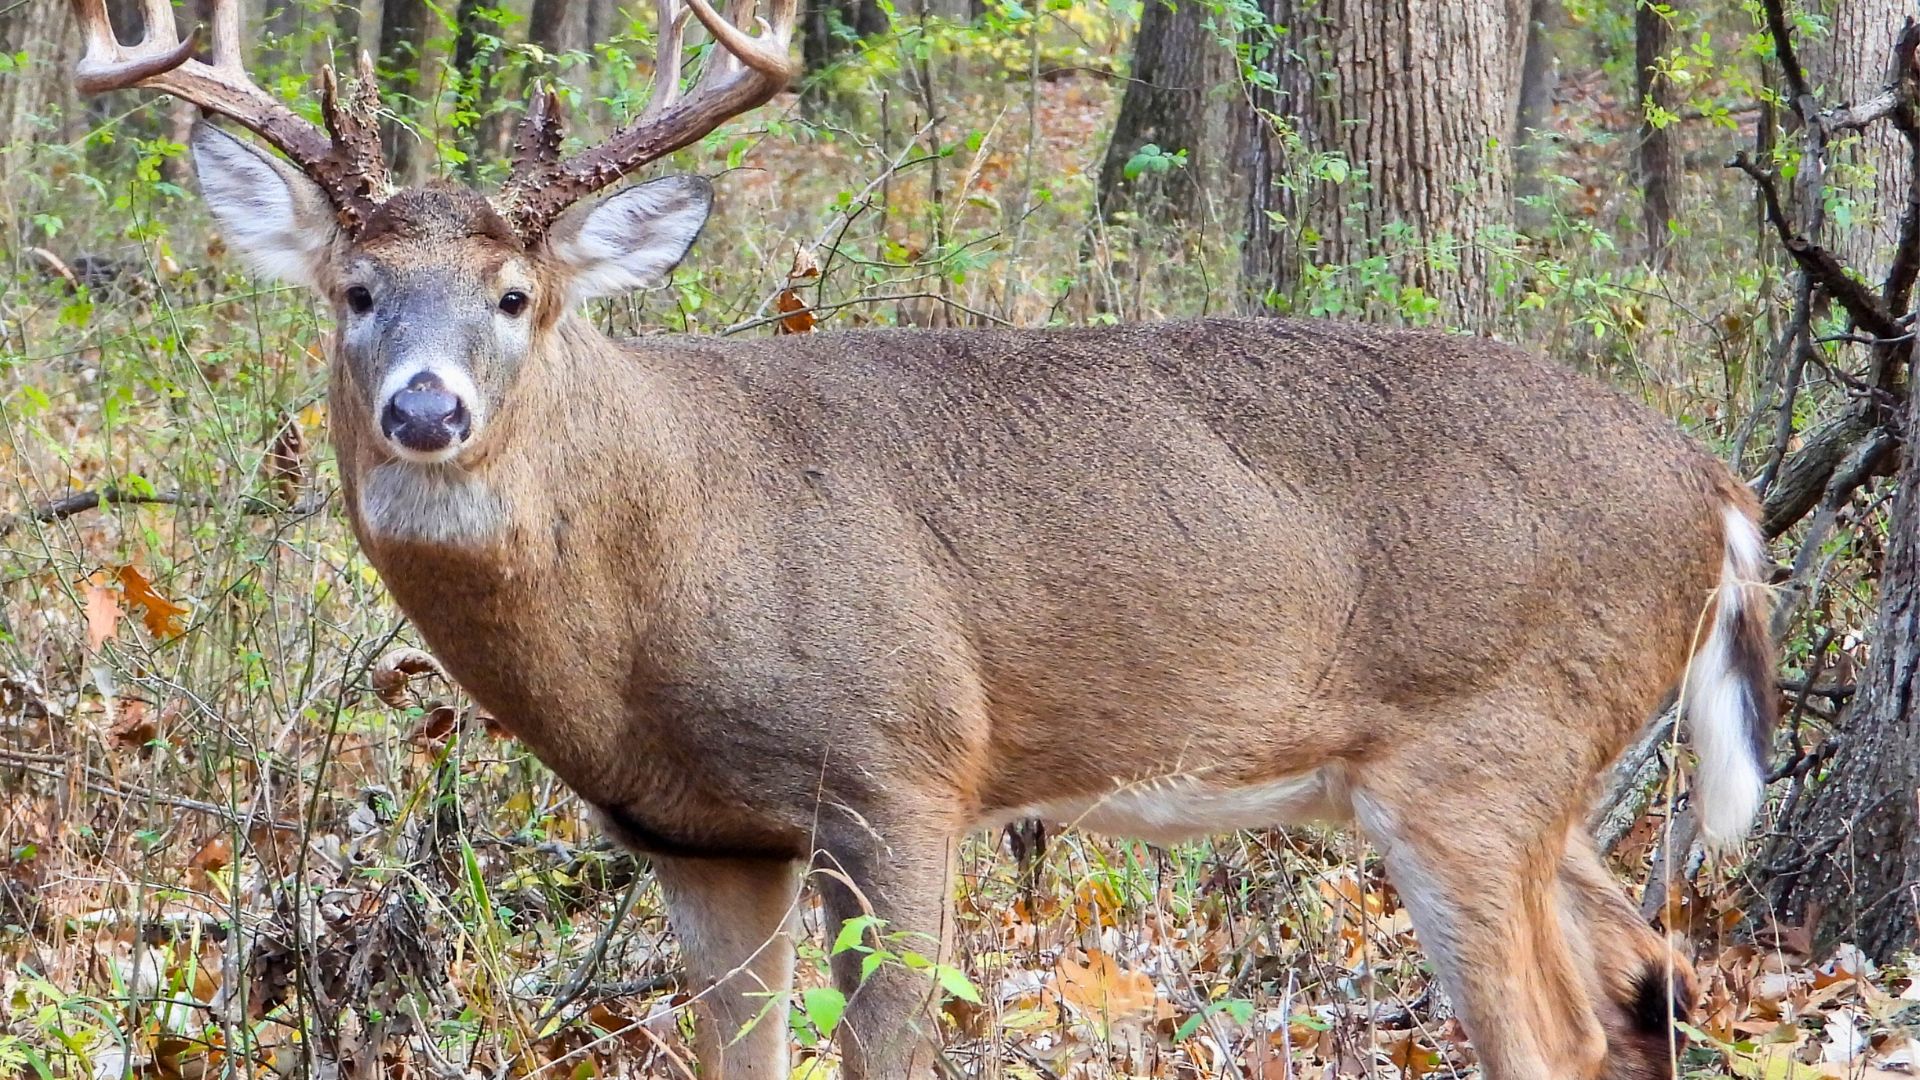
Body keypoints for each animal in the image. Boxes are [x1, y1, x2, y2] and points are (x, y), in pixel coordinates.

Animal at [68, 0, 1778, 1074]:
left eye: (515, 295)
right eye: (354, 290)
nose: (426, 409)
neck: (666, 561)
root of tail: (1720, 489)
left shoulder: (902, 770)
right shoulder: (702, 838)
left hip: (1481, 752)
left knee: (1556, 1034)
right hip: (1530, 773)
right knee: (1649, 981)